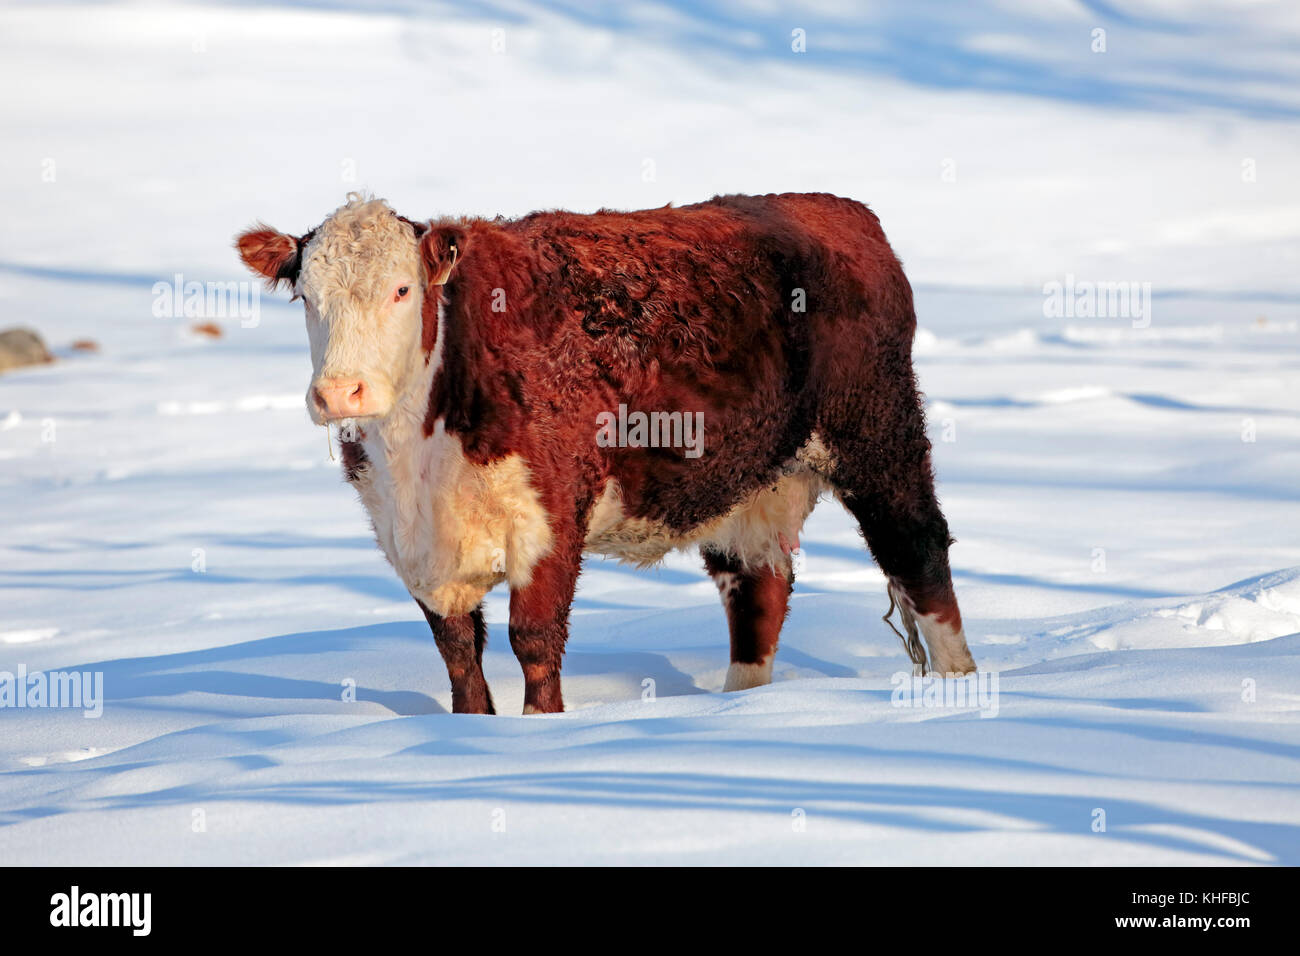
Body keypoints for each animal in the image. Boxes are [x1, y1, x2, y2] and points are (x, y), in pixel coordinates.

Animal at [236, 192, 976, 715]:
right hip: (753, 480)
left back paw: (957, 688)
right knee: (757, 592)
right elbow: (459, 659)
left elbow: (535, 642)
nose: (341, 391)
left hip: (877, 435)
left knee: (919, 552)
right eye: (305, 296)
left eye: (402, 289)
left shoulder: (550, 516)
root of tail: (836, 211)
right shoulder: (413, 546)